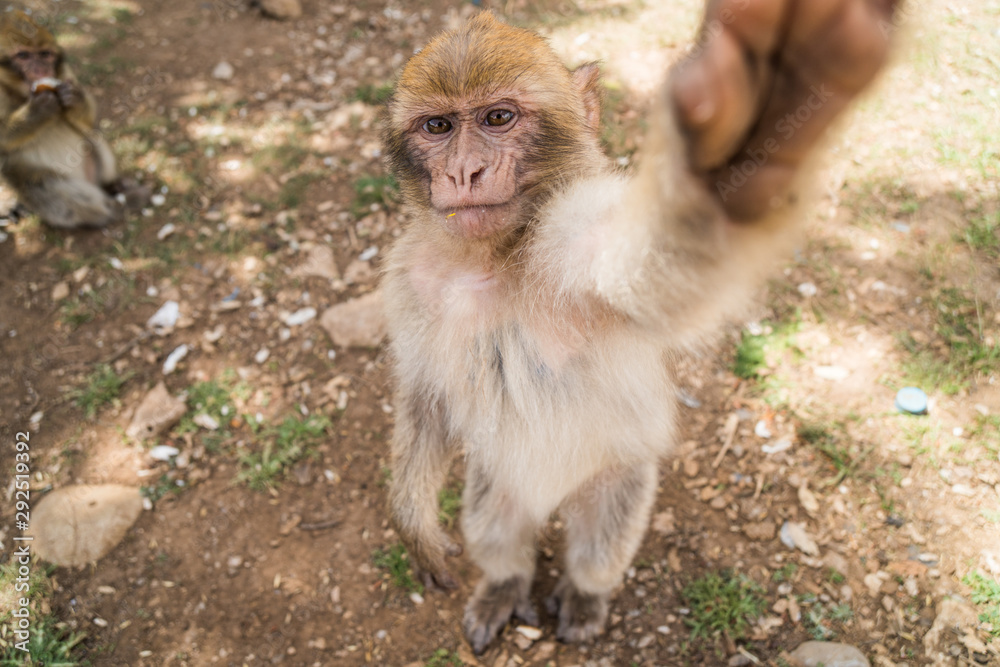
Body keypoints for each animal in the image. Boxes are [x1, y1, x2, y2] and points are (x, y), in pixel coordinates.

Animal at [0, 11, 146, 229]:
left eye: (45, 54)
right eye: (23, 56)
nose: (41, 70)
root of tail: (89, 182)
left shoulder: (65, 73)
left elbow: (88, 118)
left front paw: (74, 99)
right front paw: (38, 110)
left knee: (92, 135)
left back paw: (113, 185)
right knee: (41, 185)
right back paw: (114, 209)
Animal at [381, 0, 900, 654]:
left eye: (498, 118)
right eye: (438, 127)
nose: (466, 171)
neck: (494, 258)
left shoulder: (568, 238)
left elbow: (643, 264)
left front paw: (746, 153)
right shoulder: (410, 280)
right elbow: (424, 396)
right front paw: (411, 519)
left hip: (616, 477)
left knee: (601, 539)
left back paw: (584, 594)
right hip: (499, 481)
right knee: (495, 524)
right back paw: (504, 583)